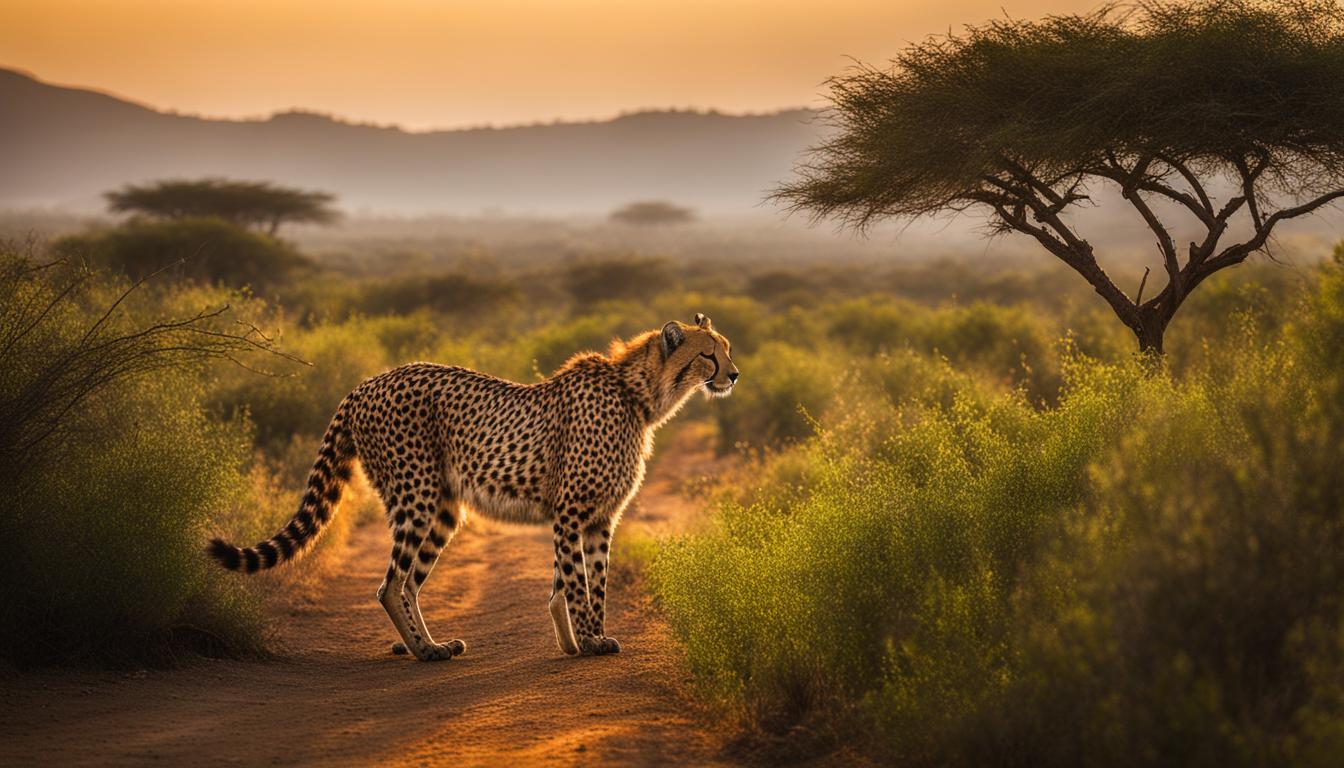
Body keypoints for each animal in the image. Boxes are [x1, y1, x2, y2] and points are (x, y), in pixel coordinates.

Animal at [208, 313, 737, 661]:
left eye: (727, 347)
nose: (733, 374)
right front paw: (588, 641)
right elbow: (578, 581)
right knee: (390, 584)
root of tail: (367, 382)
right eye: (708, 352)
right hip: (416, 496)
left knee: (408, 584)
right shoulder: (571, 510)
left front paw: (577, 641)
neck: (640, 395)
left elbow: (584, 582)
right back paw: (423, 651)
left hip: (443, 509)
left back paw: (430, 643)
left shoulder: (597, 517)